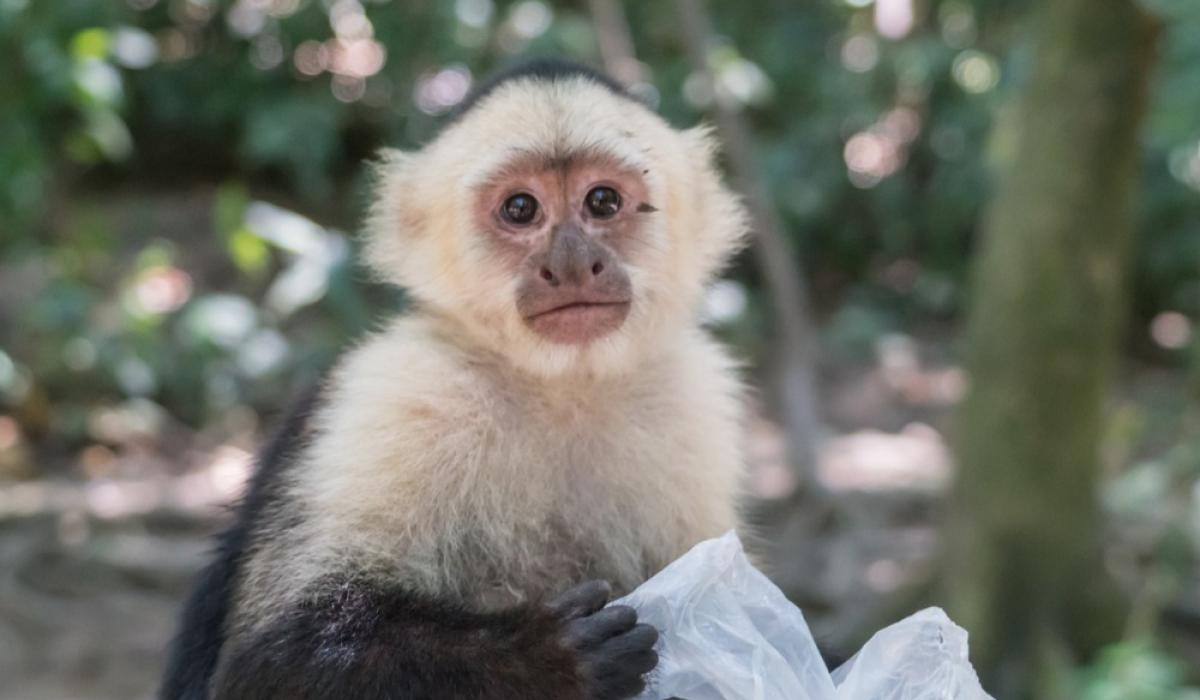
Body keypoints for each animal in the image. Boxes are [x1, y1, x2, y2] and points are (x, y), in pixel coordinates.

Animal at [160, 58, 751, 700]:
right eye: (520, 209)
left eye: (602, 200)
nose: (571, 264)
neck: (561, 387)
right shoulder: (396, 387)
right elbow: (271, 659)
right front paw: (547, 660)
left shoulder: (693, 397)